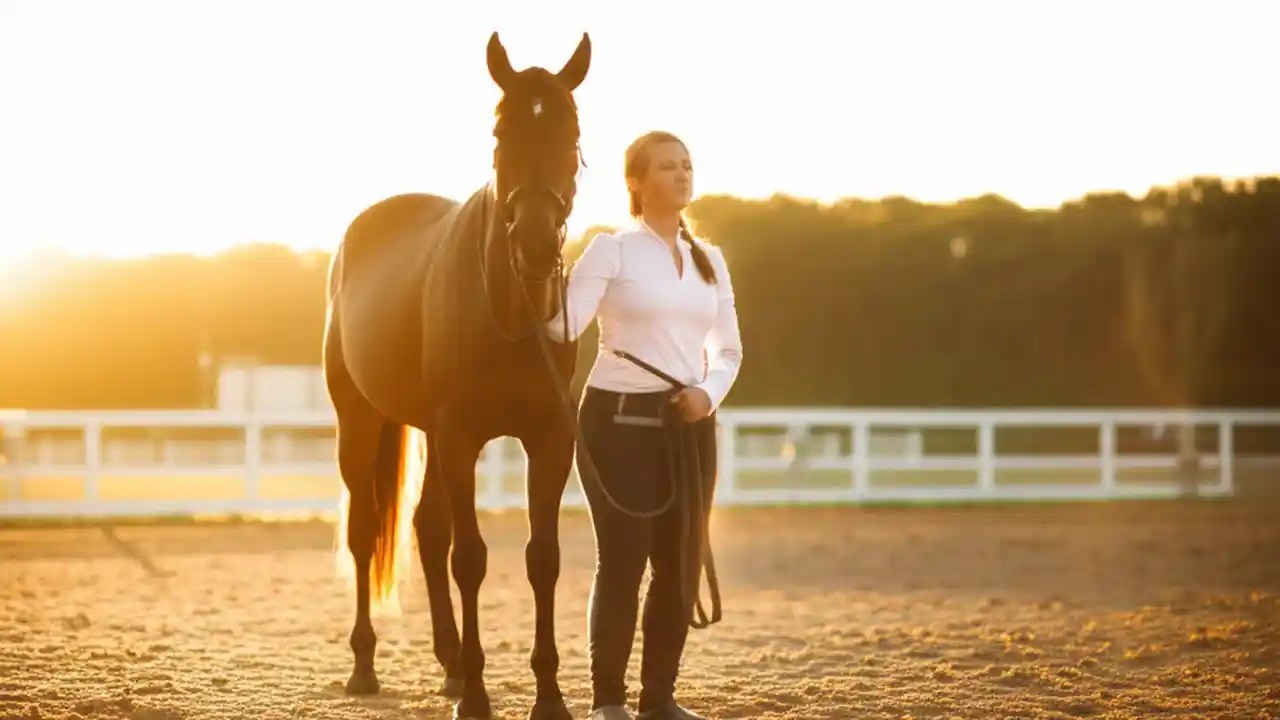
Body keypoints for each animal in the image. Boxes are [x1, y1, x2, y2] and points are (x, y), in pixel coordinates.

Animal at [322, 32, 591, 720]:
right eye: (499, 131)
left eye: (572, 133)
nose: (534, 244)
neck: (509, 310)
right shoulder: (462, 436)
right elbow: (470, 558)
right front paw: (476, 696)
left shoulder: (550, 440)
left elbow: (543, 558)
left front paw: (548, 695)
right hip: (361, 421)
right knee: (365, 531)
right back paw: (364, 666)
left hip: (429, 434)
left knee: (426, 528)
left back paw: (446, 662)